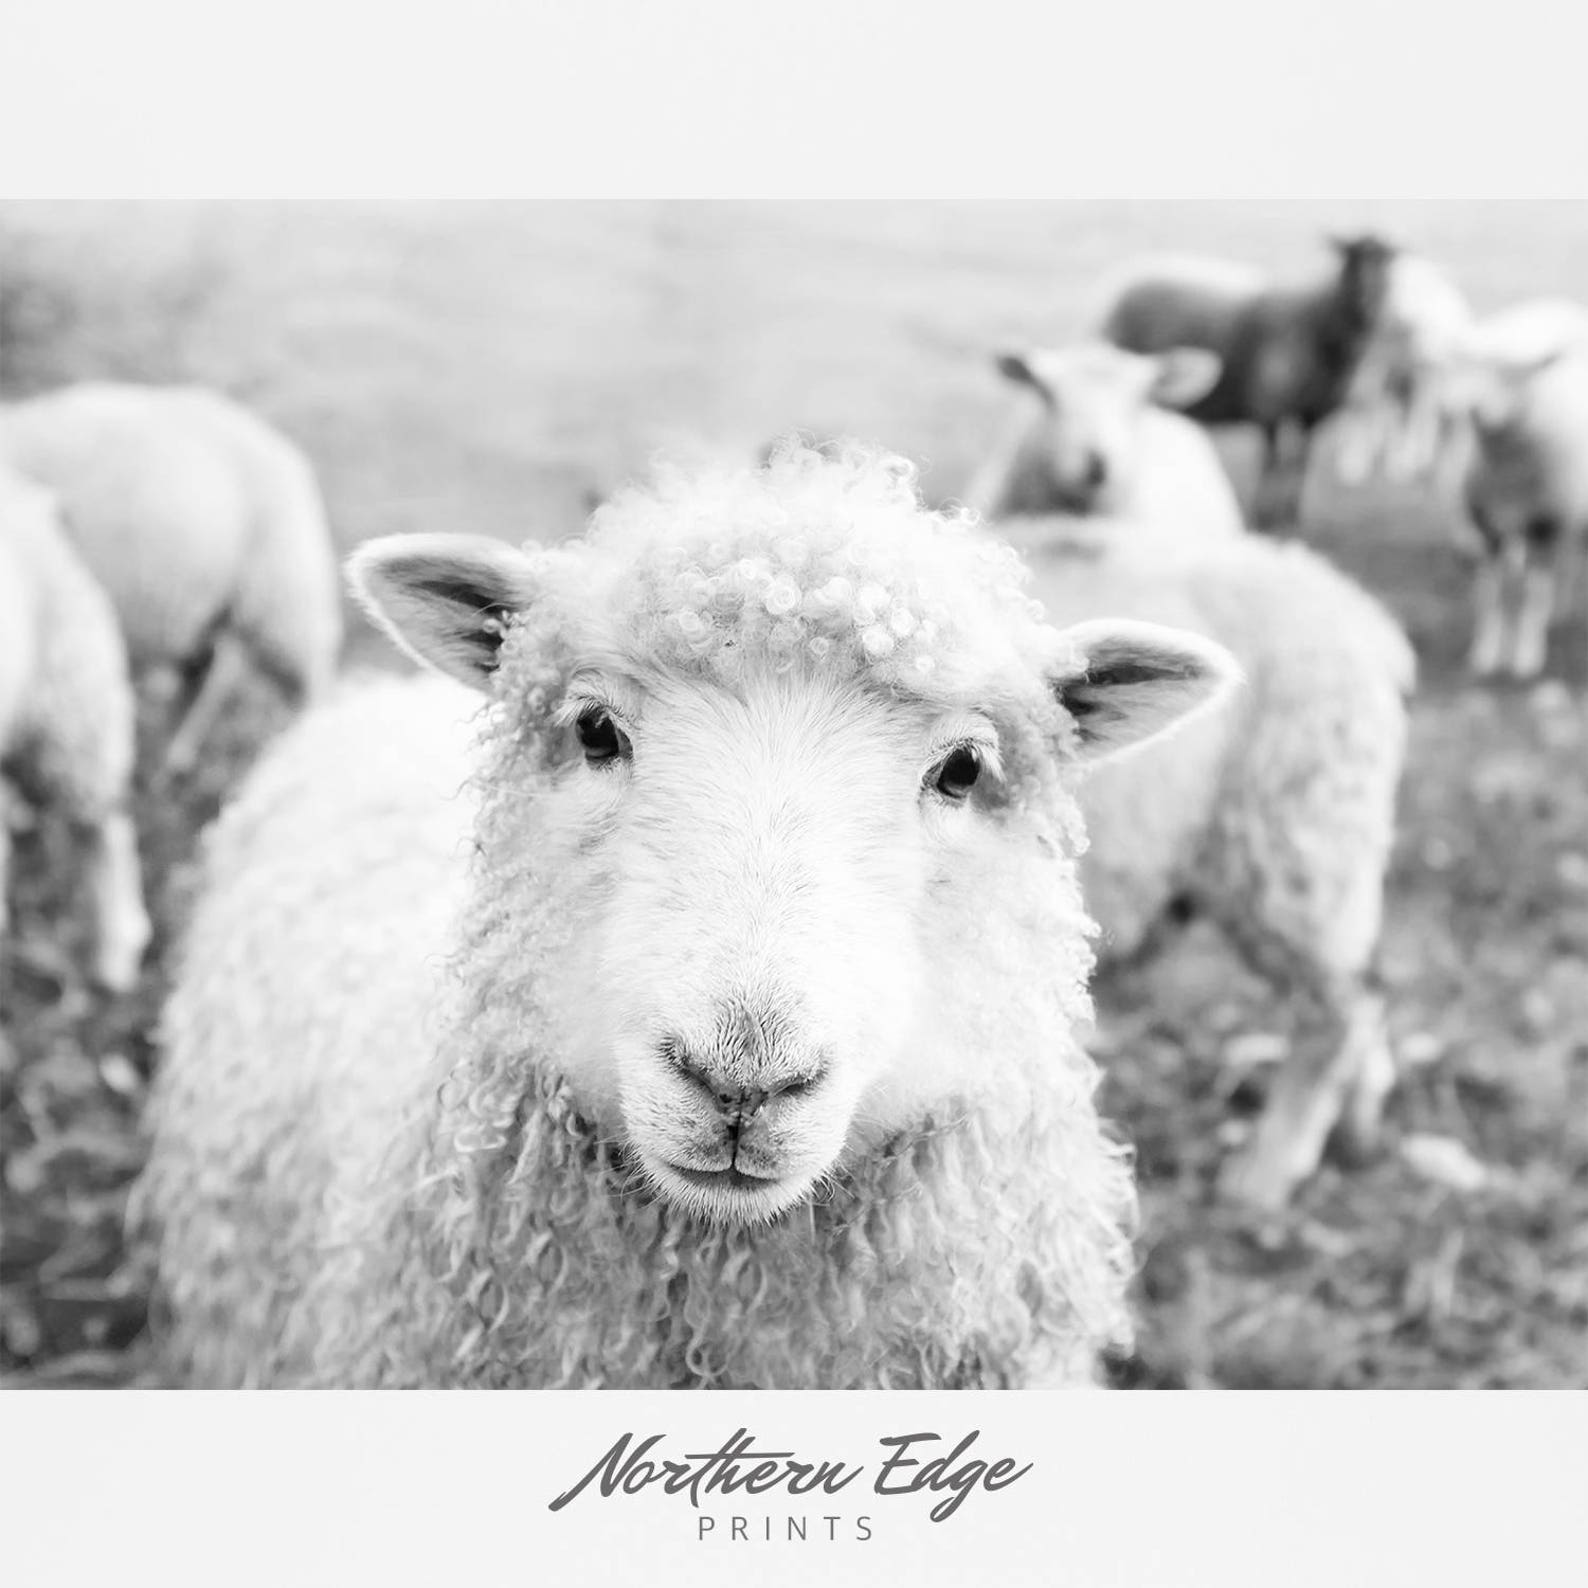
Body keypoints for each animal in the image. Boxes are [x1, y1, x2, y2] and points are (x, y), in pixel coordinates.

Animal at [0, 382, 342, 774]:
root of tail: (276, 444)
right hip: (206, 605)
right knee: (201, 673)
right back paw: (169, 759)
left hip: (281, 595)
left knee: (307, 681)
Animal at [990, 514, 1415, 1210]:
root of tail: (1363, 616)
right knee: (1364, 989)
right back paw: (1358, 1124)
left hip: (1290, 833)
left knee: (1342, 1005)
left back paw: (1269, 1171)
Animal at [1099, 235, 1399, 528]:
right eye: (1351, 260)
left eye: (1387, 265)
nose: (1367, 301)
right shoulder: (1270, 407)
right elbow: (1271, 462)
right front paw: (1264, 515)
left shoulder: (1312, 413)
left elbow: (1301, 463)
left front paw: (1292, 515)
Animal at [1441, 299, 1588, 679]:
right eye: (1465, 366)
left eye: (1509, 373)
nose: (1454, 407)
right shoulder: (1486, 523)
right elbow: (1491, 594)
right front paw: (1486, 654)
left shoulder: (1546, 520)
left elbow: (1535, 593)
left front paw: (1526, 656)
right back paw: (1560, 611)